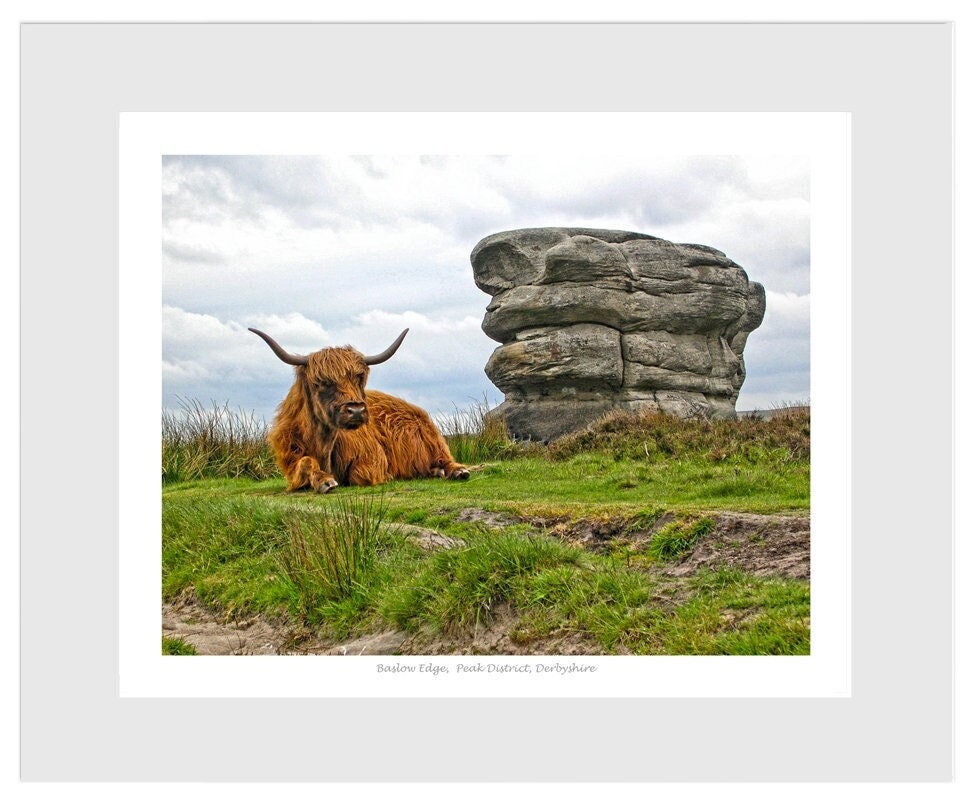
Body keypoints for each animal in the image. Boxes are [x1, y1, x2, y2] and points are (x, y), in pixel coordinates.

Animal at [250, 326, 470, 492]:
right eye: (321, 382)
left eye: (359, 377)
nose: (356, 410)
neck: (324, 445)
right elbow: (305, 462)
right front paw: (325, 481)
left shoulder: (372, 458)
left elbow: (361, 475)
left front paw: (388, 475)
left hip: (433, 440)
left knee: (444, 458)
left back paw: (458, 471)